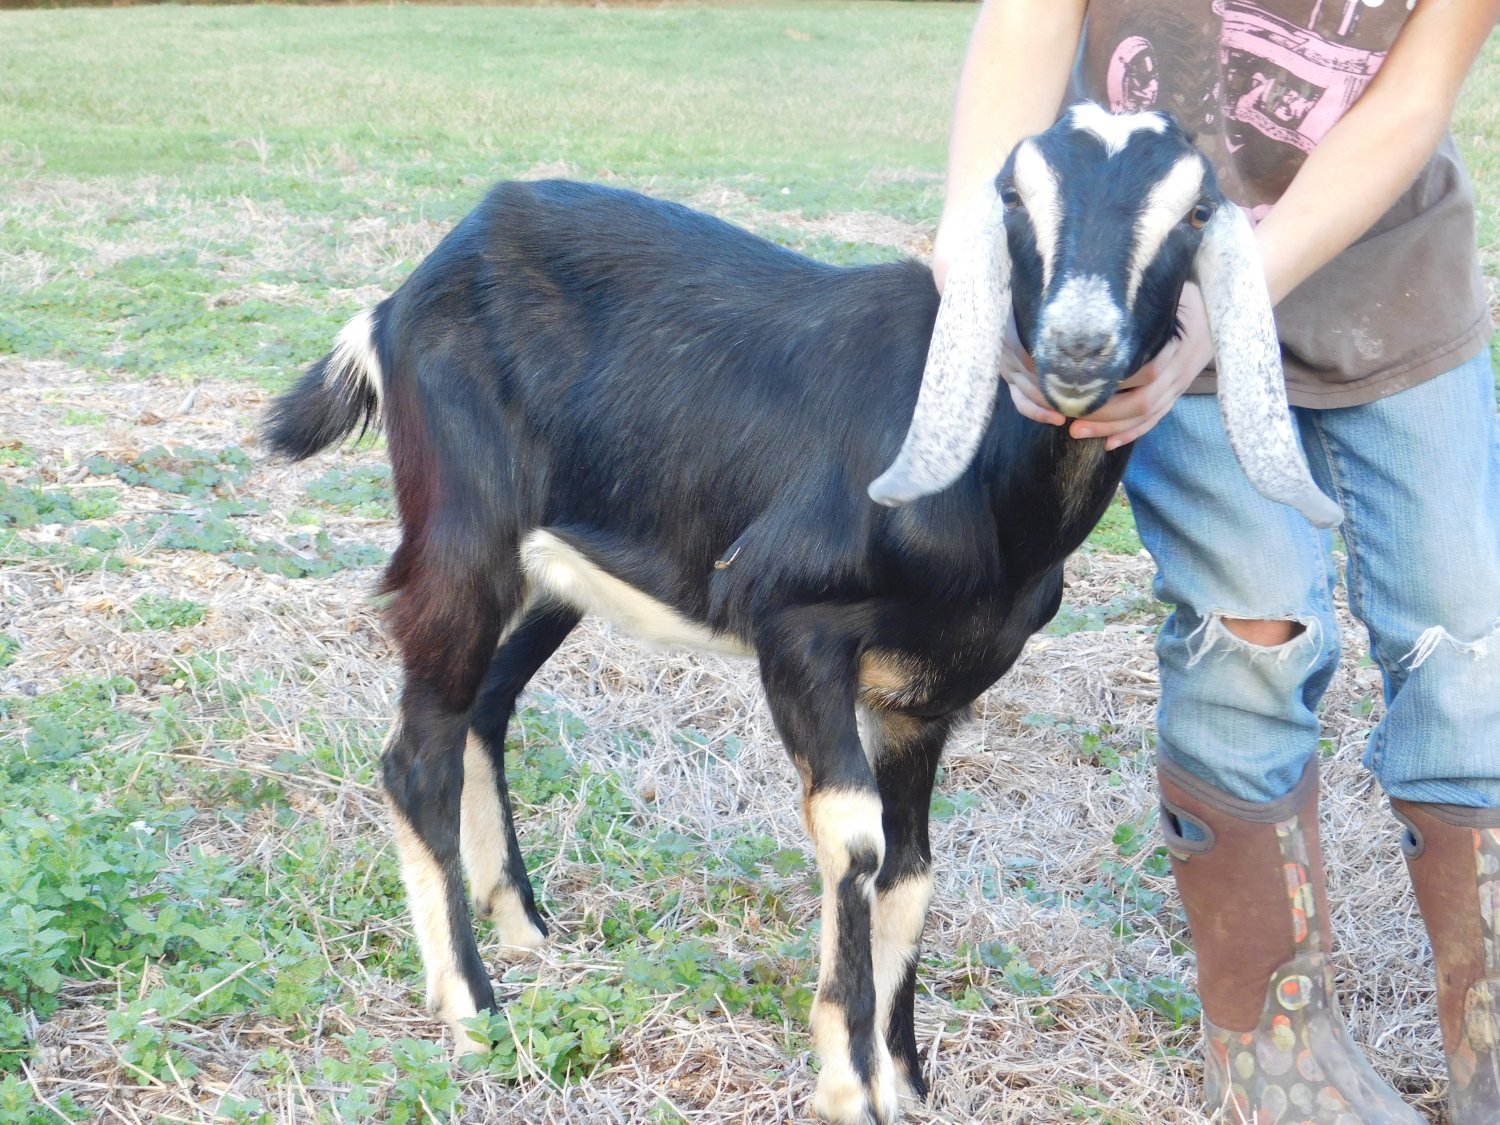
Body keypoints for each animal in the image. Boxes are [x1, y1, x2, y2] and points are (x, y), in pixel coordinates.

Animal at [264, 103, 1339, 1125]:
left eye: (1192, 215)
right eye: (1018, 199)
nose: (1079, 346)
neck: (989, 491)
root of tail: (399, 303)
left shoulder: (928, 696)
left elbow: (911, 867)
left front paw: (906, 1074)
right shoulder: (796, 629)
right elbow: (857, 839)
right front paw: (848, 1083)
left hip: (557, 571)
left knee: (484, 708)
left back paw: (526, 929)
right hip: (464, 538)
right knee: (419, 752)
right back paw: (474, 1008)